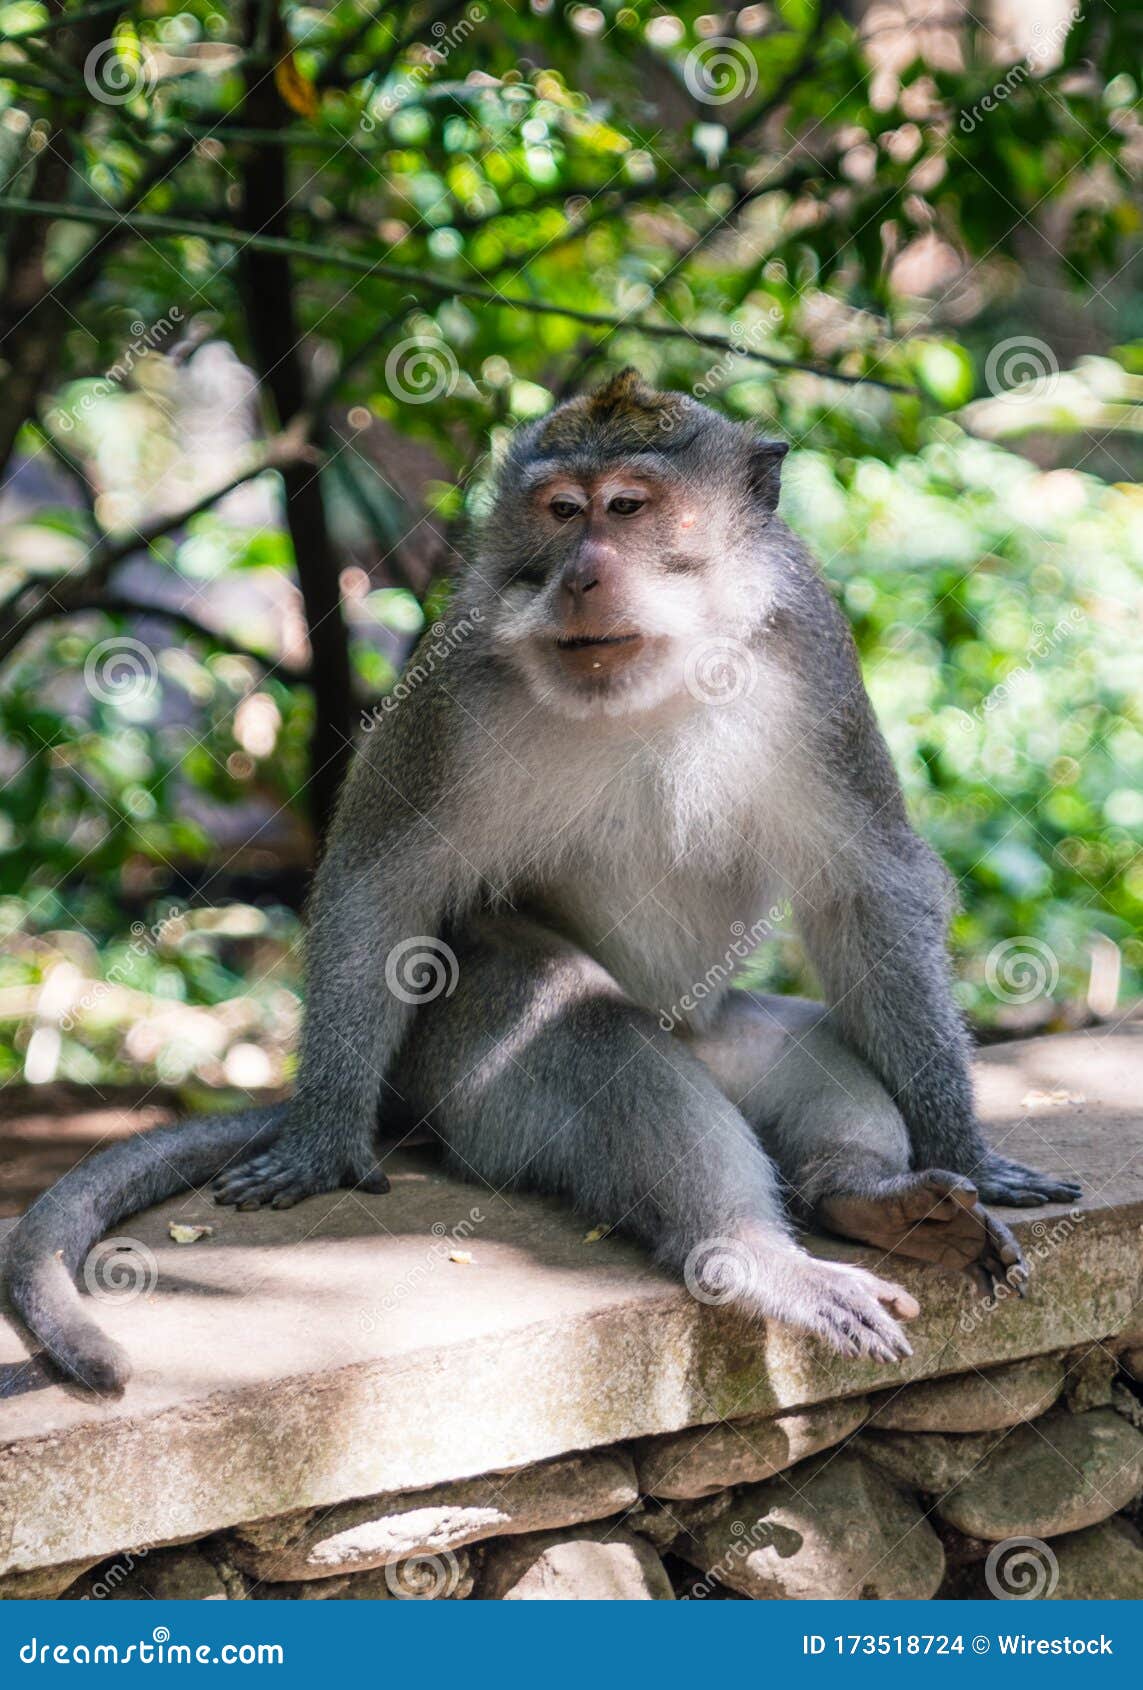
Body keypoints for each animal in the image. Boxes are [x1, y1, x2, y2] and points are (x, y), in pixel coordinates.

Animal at [5, 369, 1079, 1394]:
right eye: (563, 511)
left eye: (631, 507)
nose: (582, 573)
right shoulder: (450, 683)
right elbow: (377, 888)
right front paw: (321, 1135)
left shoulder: (808, 651)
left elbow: (866, 889)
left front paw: (965, 1154)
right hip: (457, 1069)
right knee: (586, 1030)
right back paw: (747, 1253)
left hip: (712, 1029)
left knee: (805, 1048)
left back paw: (874, 1198)